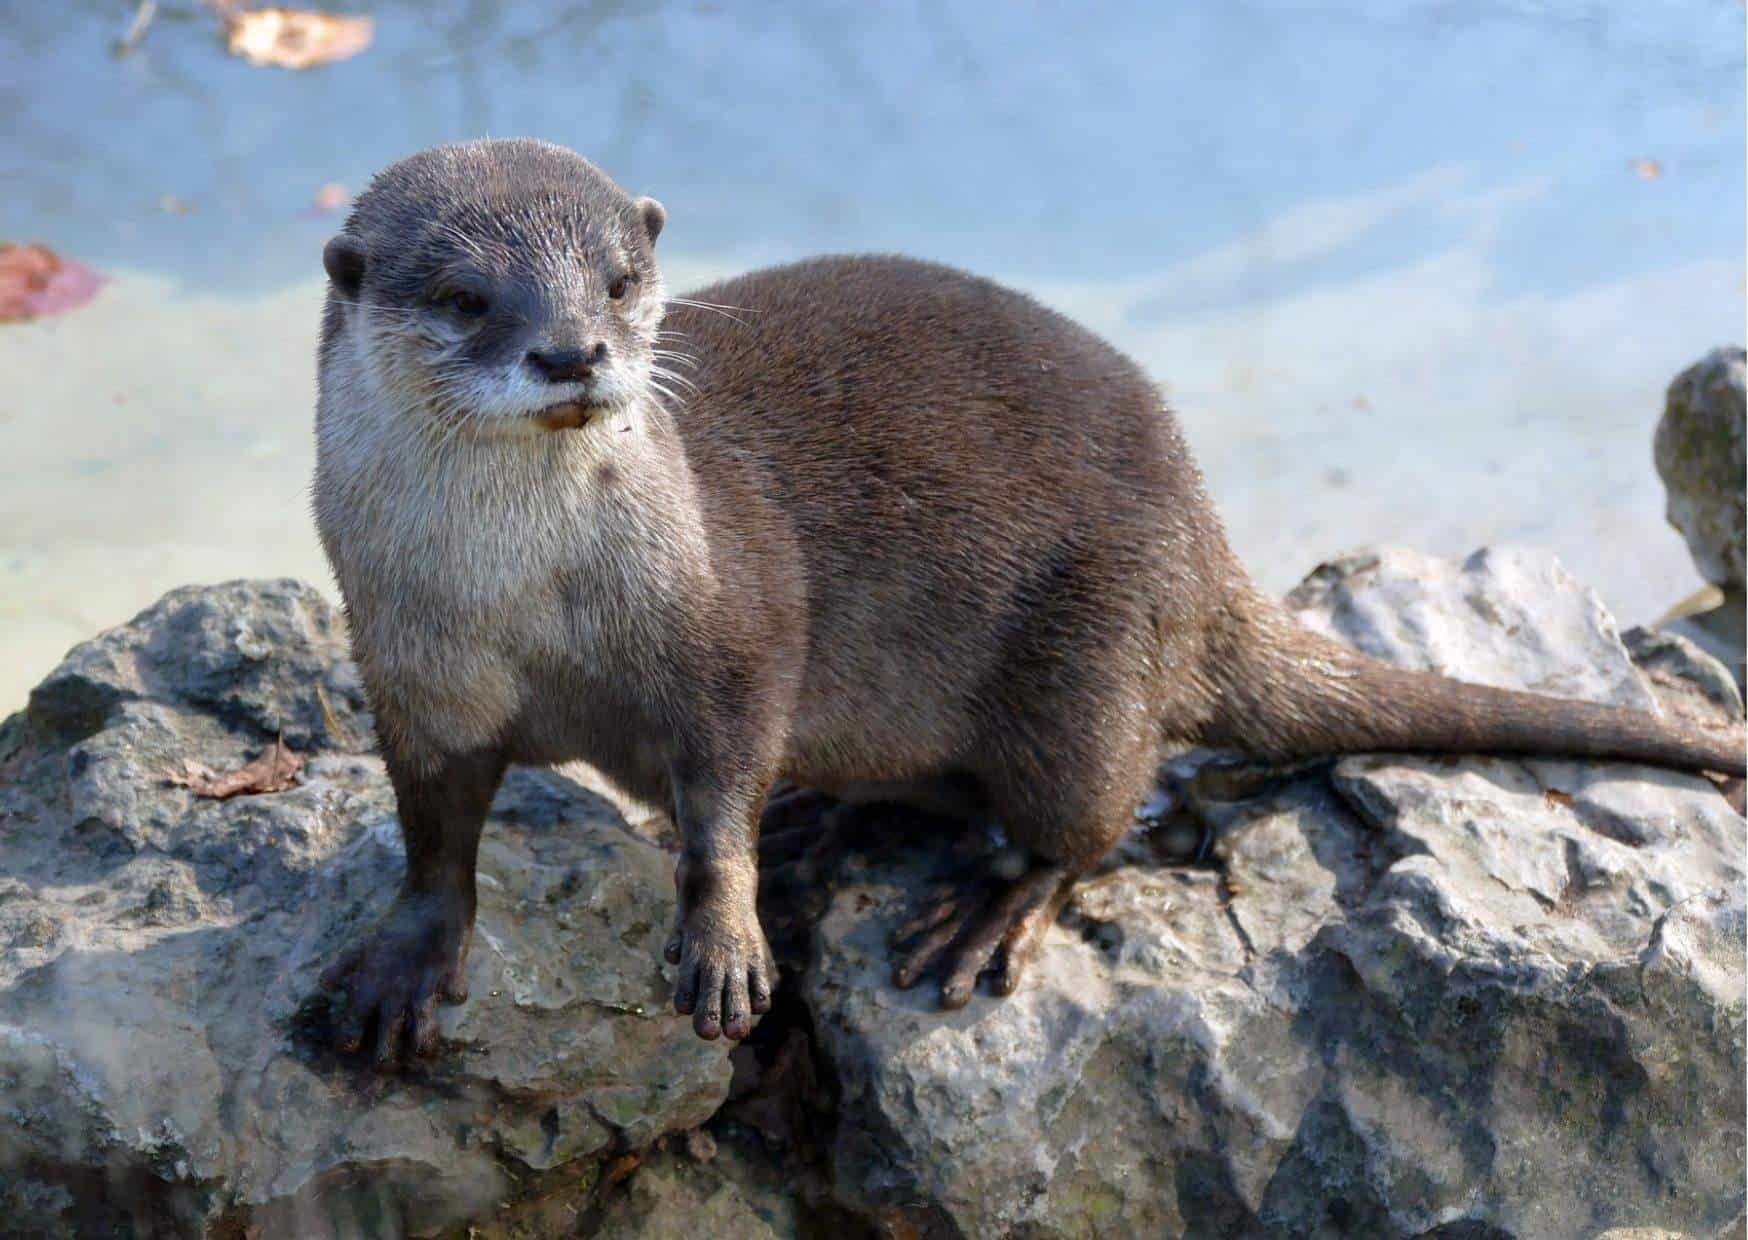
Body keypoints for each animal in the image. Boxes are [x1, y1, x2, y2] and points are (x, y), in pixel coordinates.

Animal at [312, 139, 1745, 1063]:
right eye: (466, 297)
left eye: (617, 279)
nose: (572, 350)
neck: (534, 596)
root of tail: (1200, 543)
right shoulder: (409, 660)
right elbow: (434, 825)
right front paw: (403, 954)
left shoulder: (728, 620)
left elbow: (722, 775)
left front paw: (721, 939)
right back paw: (828, 821)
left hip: (1089, 655)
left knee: (1094, 818)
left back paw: (982, 914)